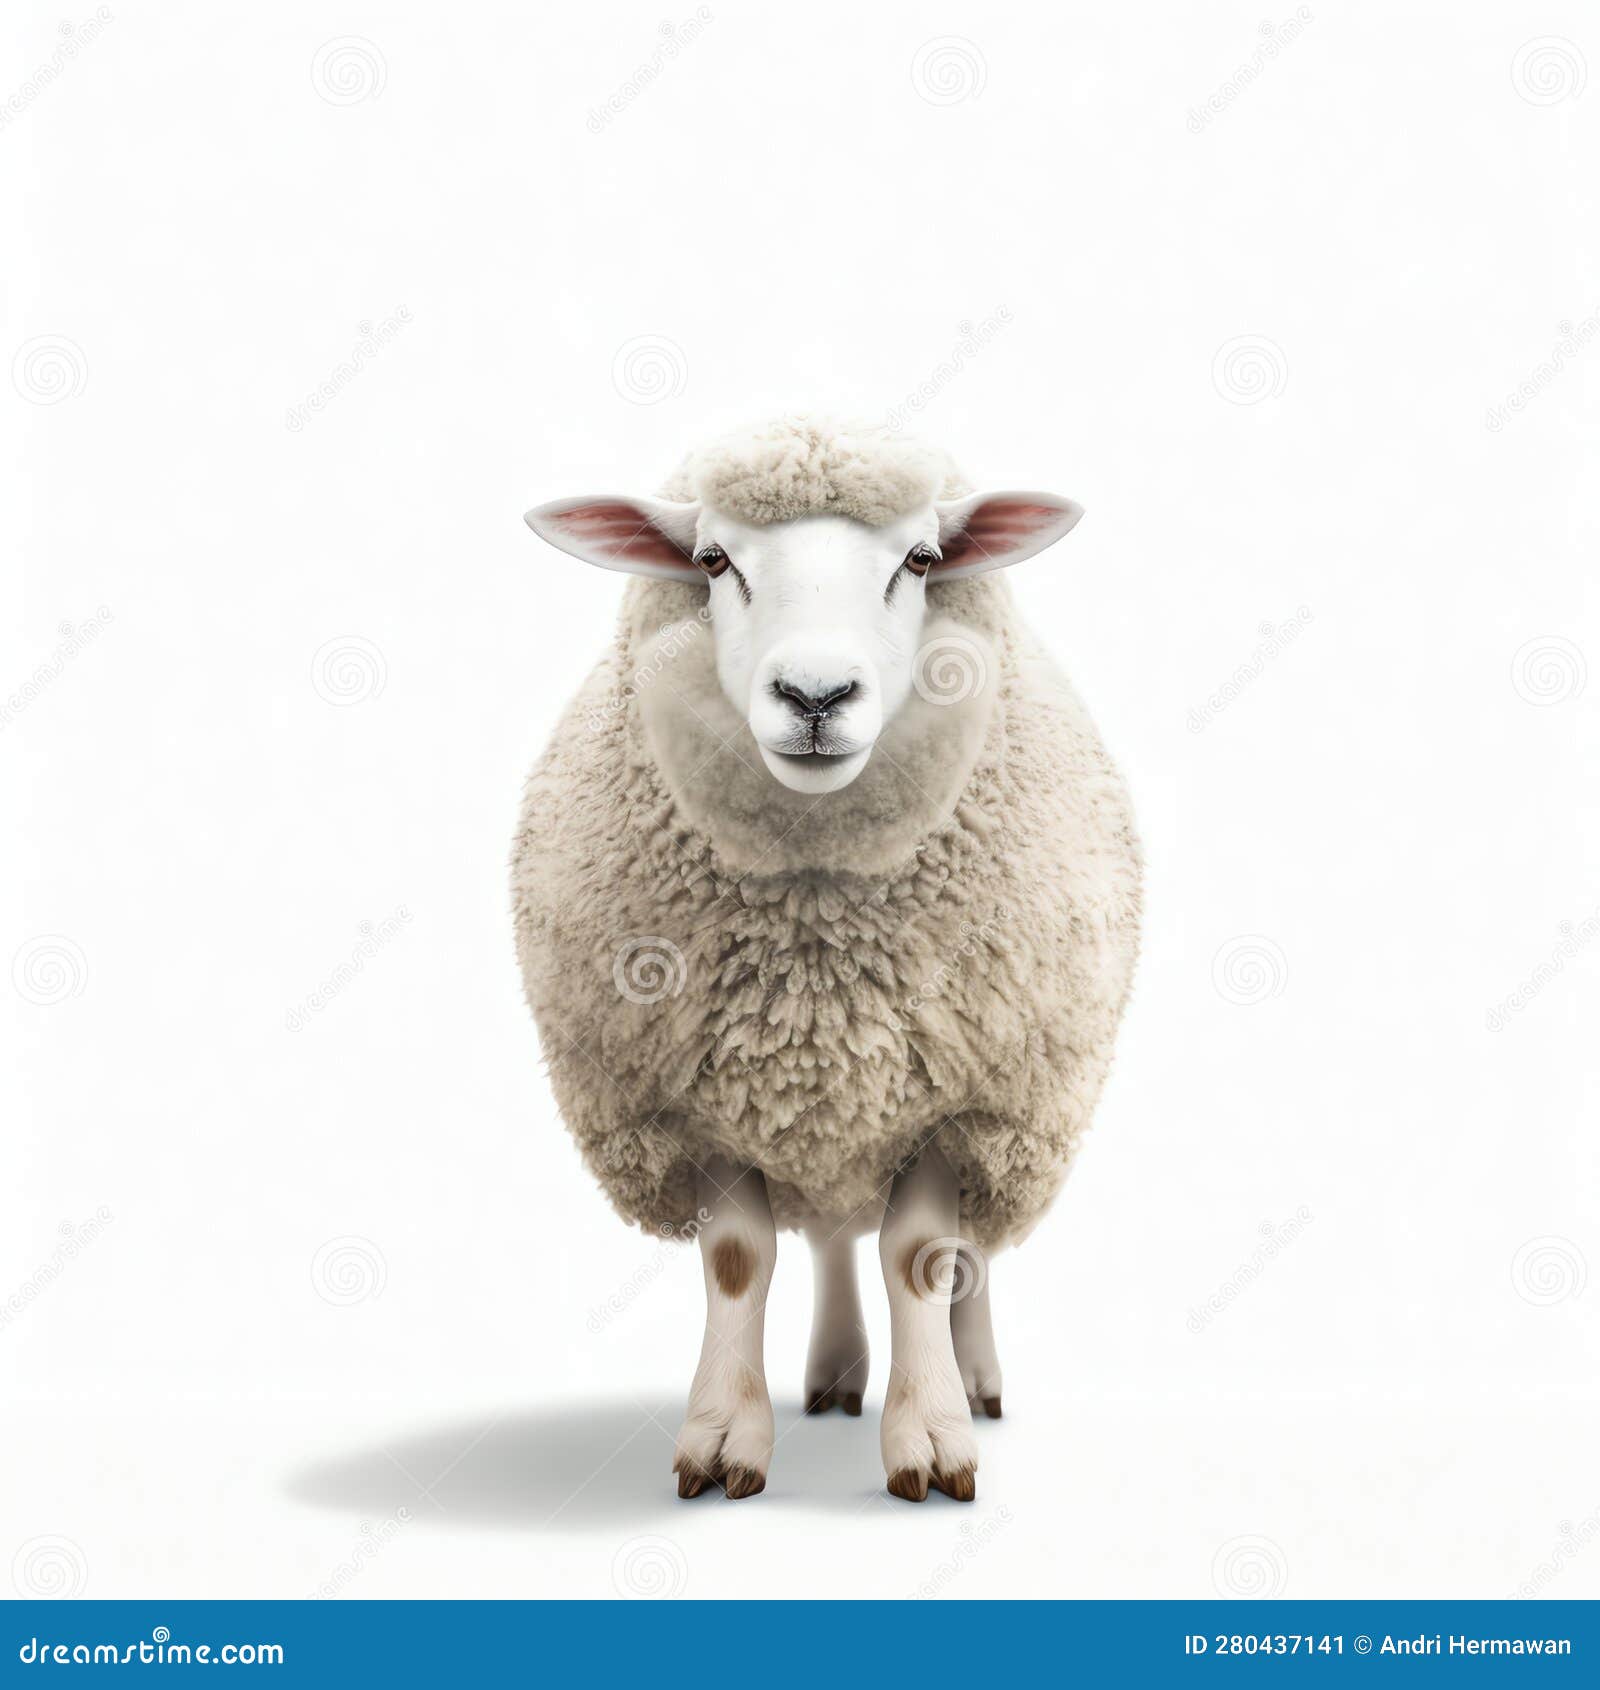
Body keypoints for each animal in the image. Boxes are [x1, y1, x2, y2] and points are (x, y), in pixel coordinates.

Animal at [514, 415, 1141, 1502]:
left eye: (921, 559)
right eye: (711, 561)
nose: (815, 695)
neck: (816, 957)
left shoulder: (951, 1095)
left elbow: (923, 1255)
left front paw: (931, 1436)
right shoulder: (706, 1096)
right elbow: (739, 1260)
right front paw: (724, 1437)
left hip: (1013, 1117)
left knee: (966, 1255)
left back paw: (975, 1378)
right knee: (839, 1239)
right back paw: (838, 1376)